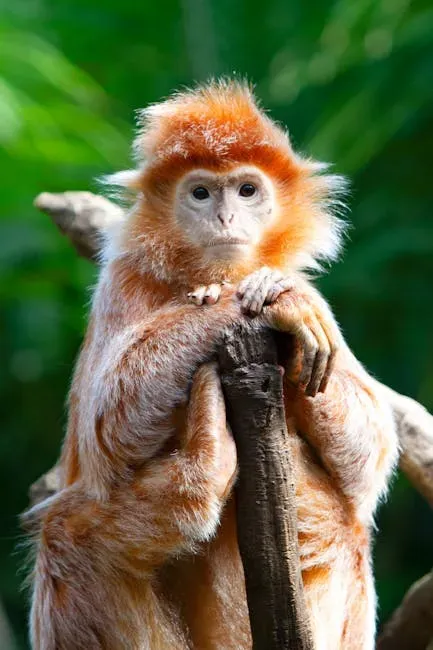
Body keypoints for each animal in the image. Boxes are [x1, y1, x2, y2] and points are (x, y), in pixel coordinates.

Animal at [28, 80, 398, 650]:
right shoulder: (123, 279)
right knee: (65, 535)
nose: (225, 217)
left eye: (246, 191)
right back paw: (205, 464)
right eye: (200, 193)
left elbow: (371, 455)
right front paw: (230, 303)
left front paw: (278, 294)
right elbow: (103, 433)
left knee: (344, 522)